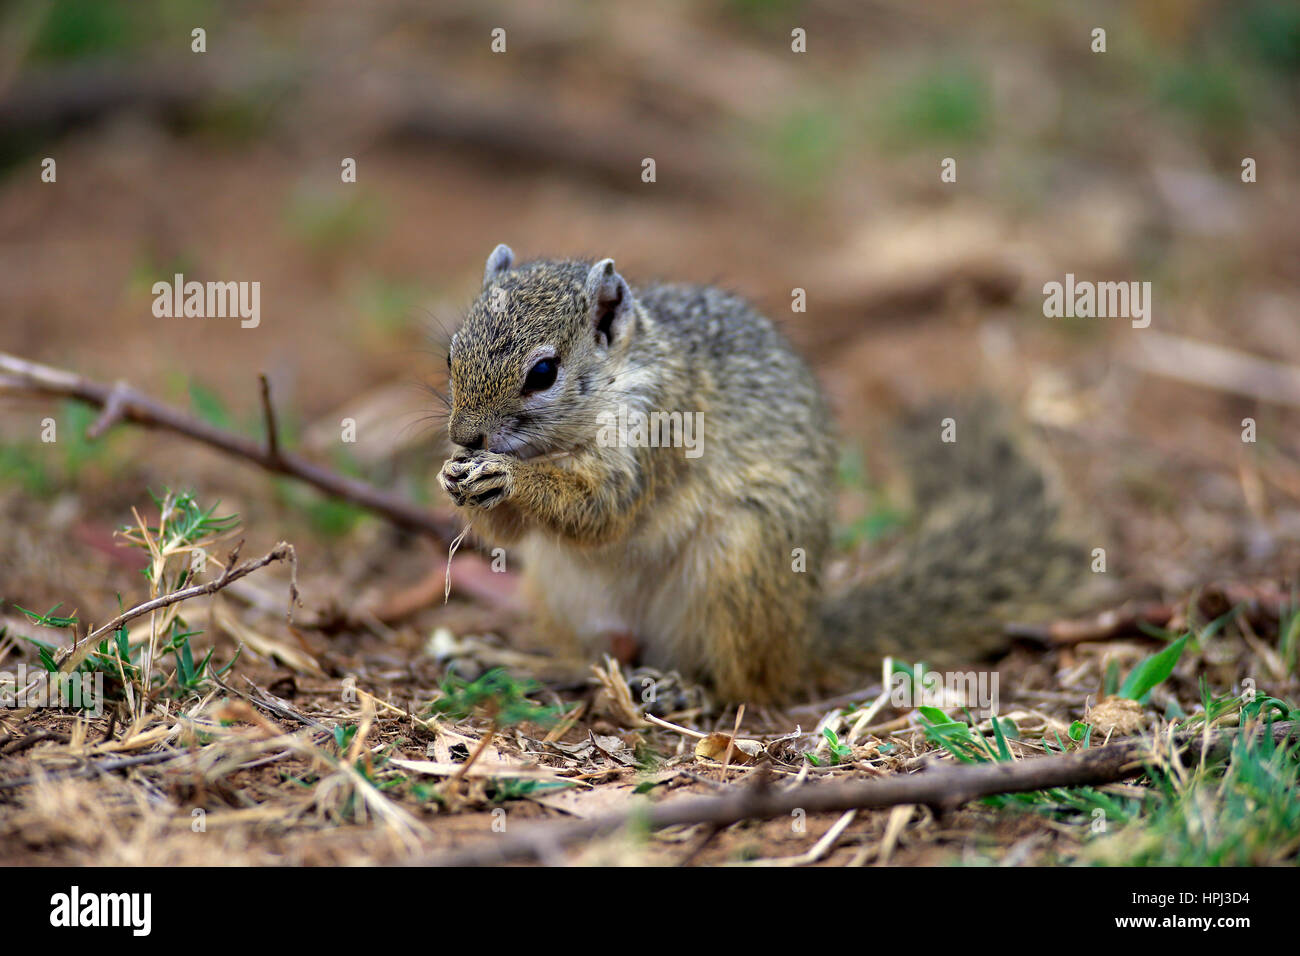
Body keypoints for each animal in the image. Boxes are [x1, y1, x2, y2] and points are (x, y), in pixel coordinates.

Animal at [437, 245, 1087, 704]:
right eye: (450, 353)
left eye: (544, 372)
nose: (465, 437)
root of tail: (800, 637)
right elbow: (520, 531)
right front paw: (454, 477)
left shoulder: (663, 428)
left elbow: (604, 512)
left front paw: (509, 477)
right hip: (561, 591)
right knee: (592, 658)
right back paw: (514, 662)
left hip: (739, 561)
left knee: (745, 681)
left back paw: (689, 689)